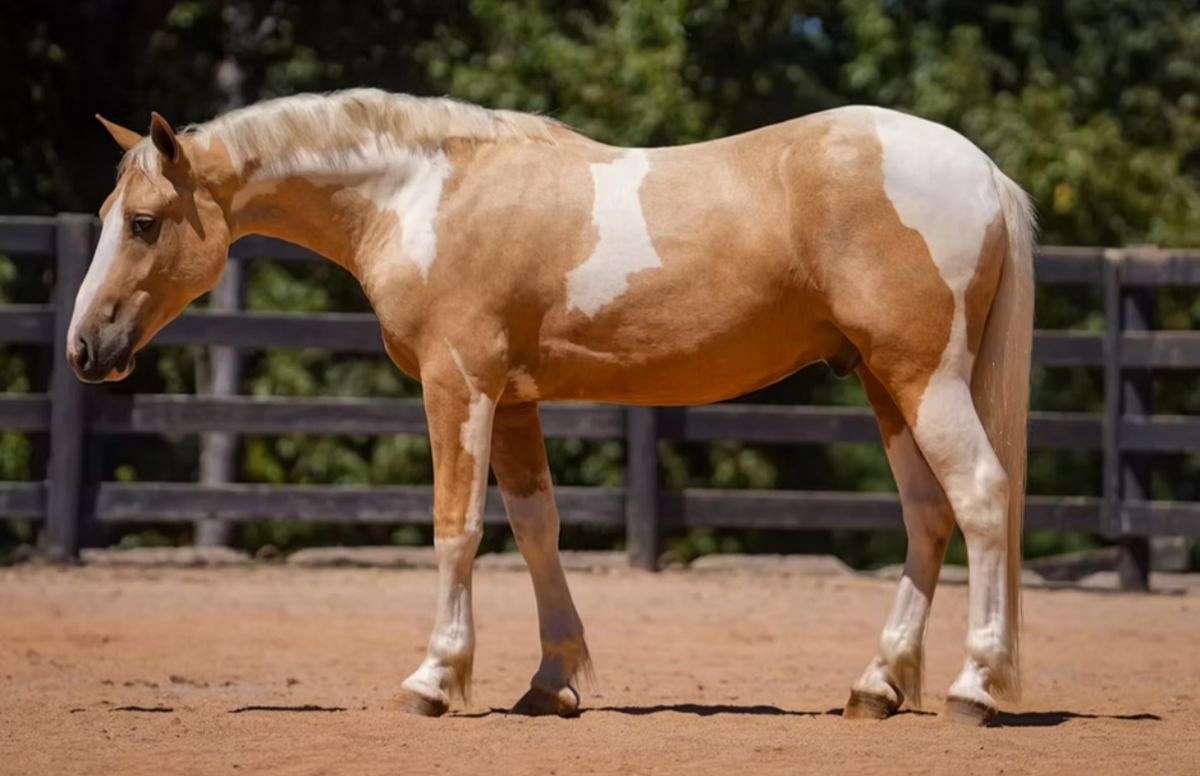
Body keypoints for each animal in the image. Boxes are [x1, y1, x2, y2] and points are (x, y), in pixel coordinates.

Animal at [73, 88, 1033, 726]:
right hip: (883, 383)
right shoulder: (515, 402)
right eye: (109, 213)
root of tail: (985, 171)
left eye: (145, 222)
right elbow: (537, 529)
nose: (85, 347)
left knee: (982, 498)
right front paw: (551, 680)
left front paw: (434, 678)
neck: (421, 195)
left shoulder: (458, 385)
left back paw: (974, 689)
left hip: (923, 377)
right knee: (927, 515)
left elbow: (455, 527)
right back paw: (877, 685)